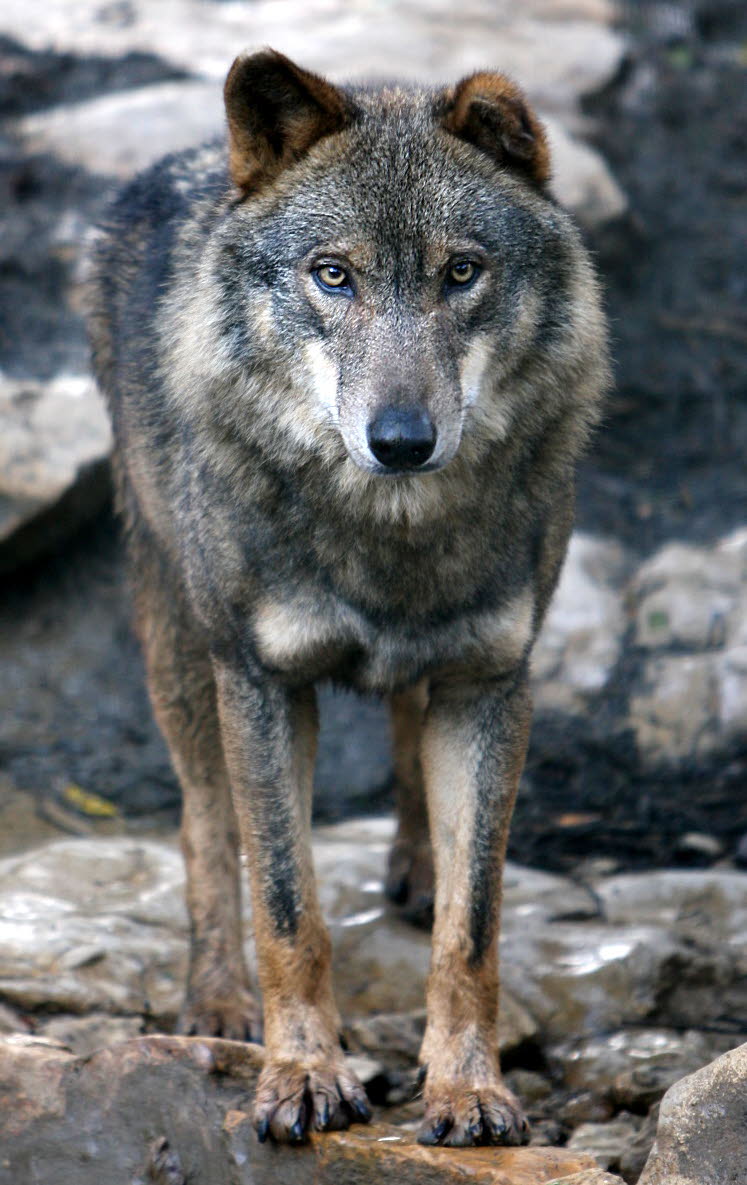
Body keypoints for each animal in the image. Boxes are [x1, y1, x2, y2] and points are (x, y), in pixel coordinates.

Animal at [87, 49, 609, 1147]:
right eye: (334, 274)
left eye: (461, 272)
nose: (400, 441)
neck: (388, 540)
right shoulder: (263, 681)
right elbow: (288, 907)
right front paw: (301, 1078)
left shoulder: (493, 681)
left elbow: (472, 929)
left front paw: (468, 1089)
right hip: (179, 637)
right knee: (206, 826)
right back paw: (217, 998)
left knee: (409, 737)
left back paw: (413, 866)